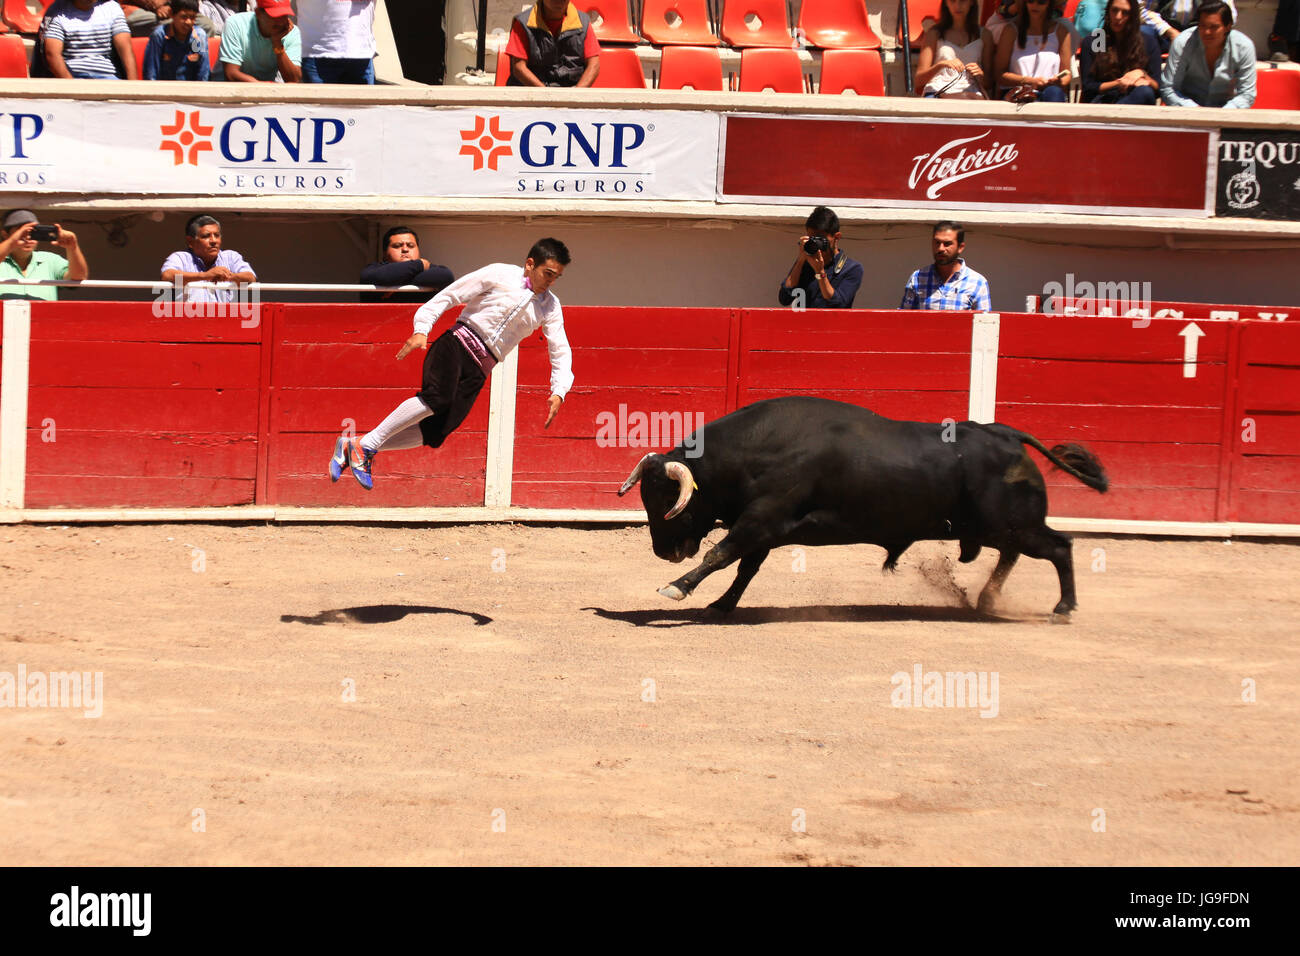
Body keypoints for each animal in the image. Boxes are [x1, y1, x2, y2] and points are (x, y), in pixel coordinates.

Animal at [617, 396, 1108, 620]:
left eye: (666, 500)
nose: (663, 551)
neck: (752, 452)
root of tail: (1006, 434)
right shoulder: (766, 527)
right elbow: (744, 568)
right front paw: (721, 605)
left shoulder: (763, 519)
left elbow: (722, 554)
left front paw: (676, 587)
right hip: (998, 527)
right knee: (1014, 554)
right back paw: (988, 599)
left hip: (1014, 523)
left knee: (1059, 547)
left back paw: (1063, 608)